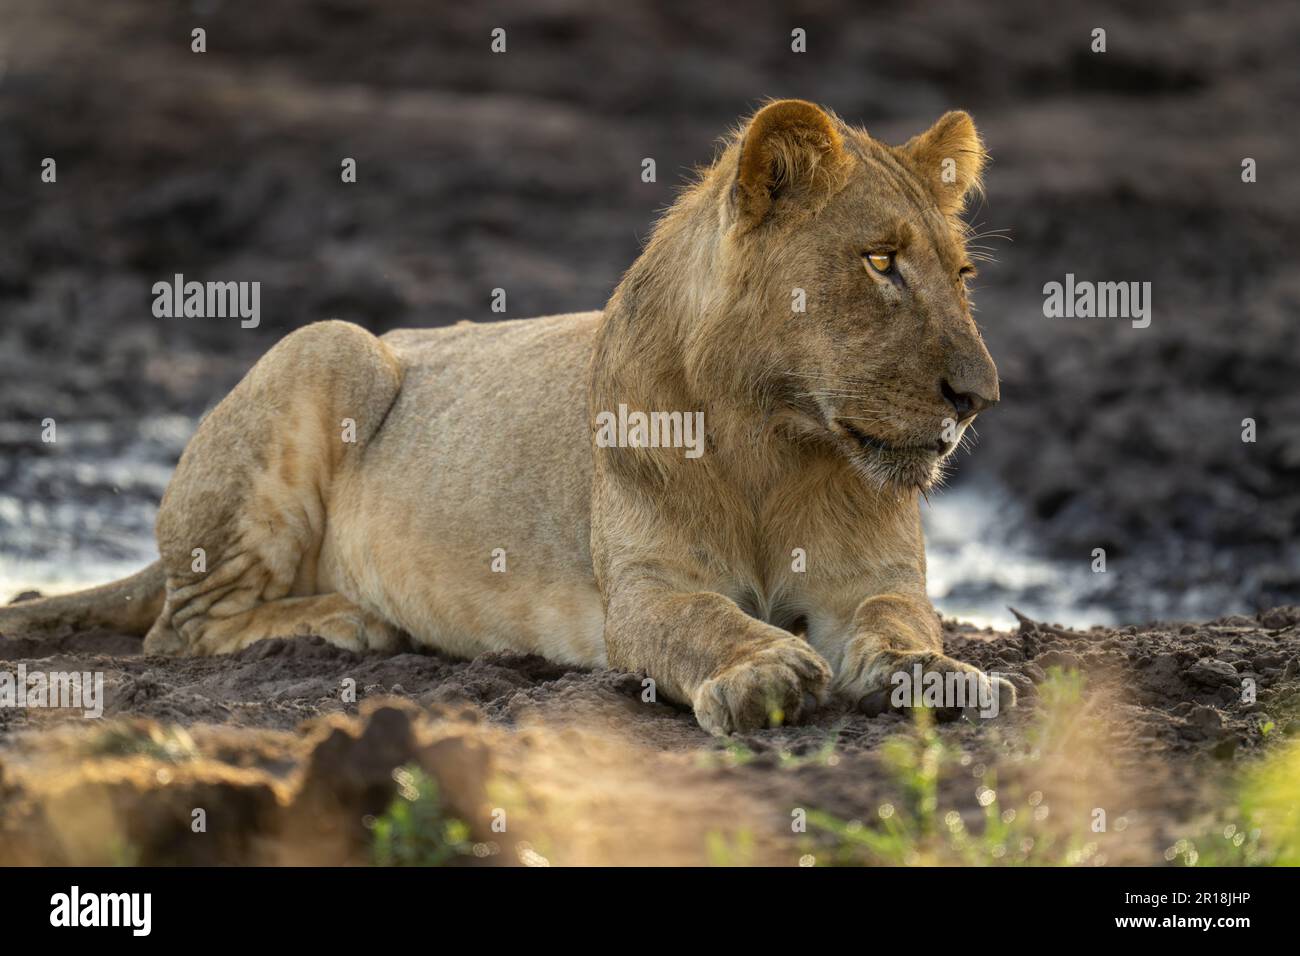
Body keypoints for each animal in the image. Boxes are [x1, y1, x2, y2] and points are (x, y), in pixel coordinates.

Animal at [0, 100, 1013, 734]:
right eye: (880, 262)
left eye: (962, 275)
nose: (981, 396)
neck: (778, 439)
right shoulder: (643, 590)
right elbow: (702, 623)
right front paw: (762, 673)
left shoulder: (869, 578)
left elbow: (900, 619)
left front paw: (940, 675)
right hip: (334, 345)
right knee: (181, 627)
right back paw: (349, 620)